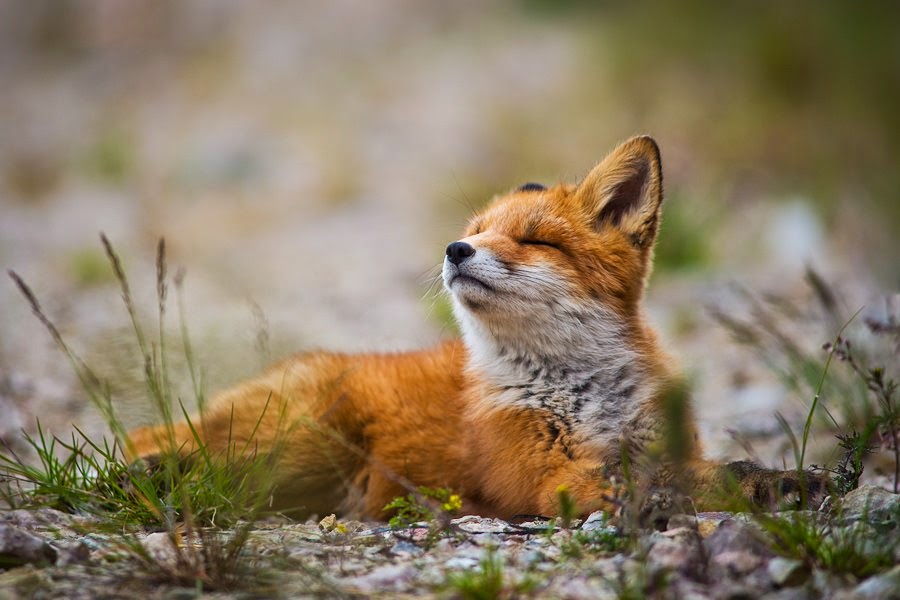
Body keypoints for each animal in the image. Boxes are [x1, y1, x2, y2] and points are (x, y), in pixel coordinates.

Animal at [127, 136, 826, 523]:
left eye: (537, 240)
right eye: (479, 229)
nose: (454, 249)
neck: (585, 396)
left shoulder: (660, 443)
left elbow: (711, 469)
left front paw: (776, 479)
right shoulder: (545, 477)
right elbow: (654, 482)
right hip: (301, 445)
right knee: (167, 446)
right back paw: (150, 474)